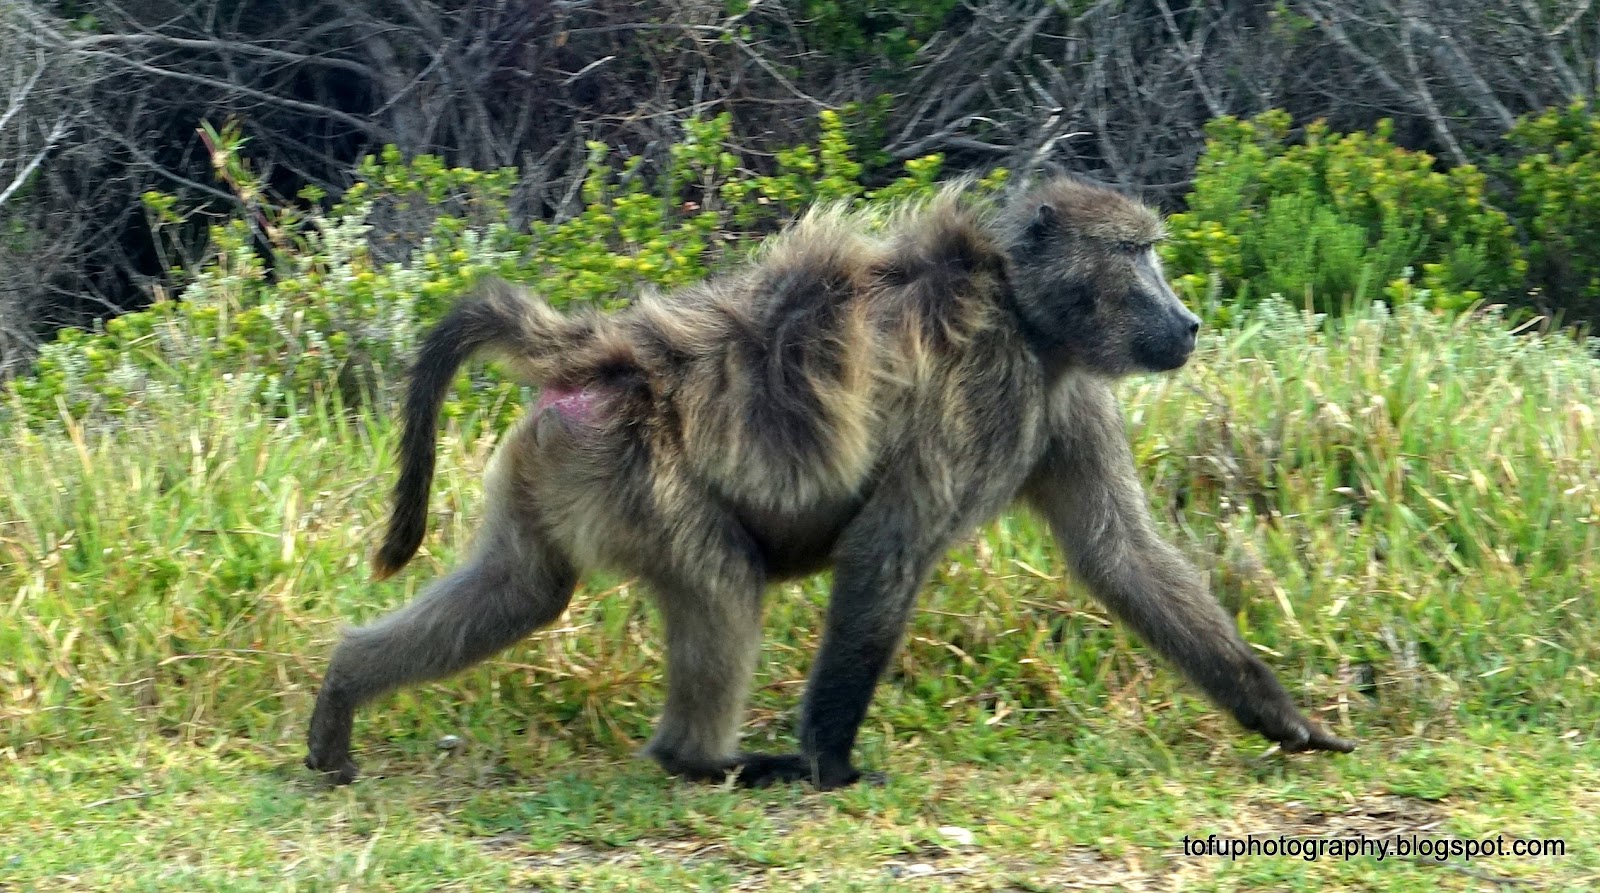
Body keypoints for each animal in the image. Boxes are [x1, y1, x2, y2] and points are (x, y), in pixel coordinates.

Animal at [304, 175, 1355, 790]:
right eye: (1136, 254)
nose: (1188, 323)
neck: (1023, 311)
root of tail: (612, 358)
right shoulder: (990, 393)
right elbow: (889, 549)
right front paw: (834, 761)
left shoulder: (1069, 397)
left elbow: (1122, 556)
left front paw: (1285, 719)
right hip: (636, 472)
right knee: (723, 585)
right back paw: (709, 762)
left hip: (557, 463)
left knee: (520, 591)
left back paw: (342, 693)